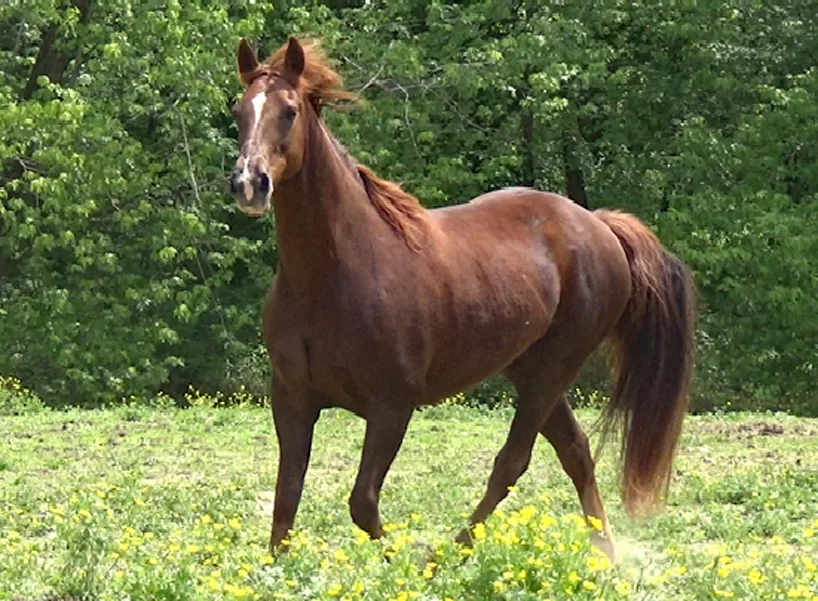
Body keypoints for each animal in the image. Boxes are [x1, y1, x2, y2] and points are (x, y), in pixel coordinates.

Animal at [228, 36, 696, 562]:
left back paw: (451, 554)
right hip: (532, 369)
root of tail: (599, 224)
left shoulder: (392, 405)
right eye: (239, 111)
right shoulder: (292, 400)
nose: (249, 183)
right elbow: (286, 502)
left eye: (289, 111)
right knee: (575, 452)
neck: (331, 275)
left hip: (554, 369)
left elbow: (362, 503)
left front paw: (405, 563)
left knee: (513, 461)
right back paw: (606, 555)